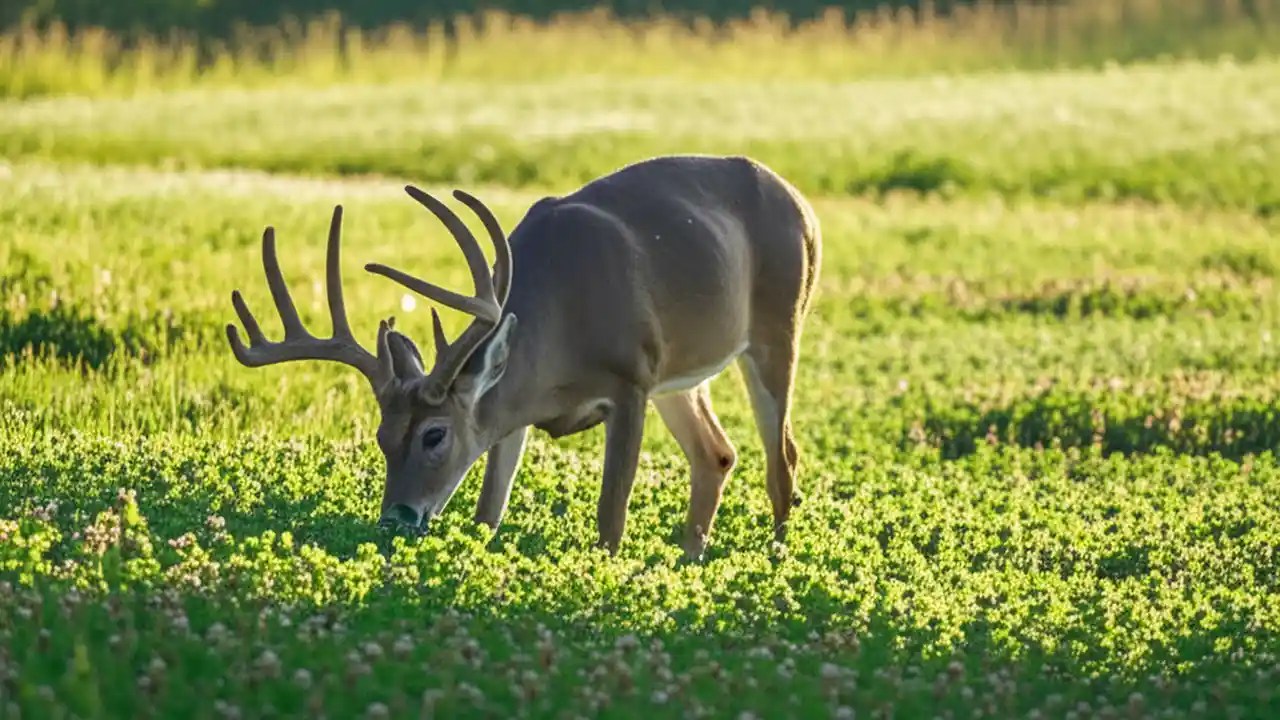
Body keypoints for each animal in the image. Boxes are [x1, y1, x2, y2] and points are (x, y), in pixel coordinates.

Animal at [225, 154, 821, 558]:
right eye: (381, 437)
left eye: (434, 434)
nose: (396, 519)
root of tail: (803, 205)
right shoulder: (510, 412)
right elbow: (488, 514)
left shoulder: (631, 377)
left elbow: (610, 517)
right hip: (681, 376)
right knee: (716, 454)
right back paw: (688, 560)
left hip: (777, 327)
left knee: (782, 460)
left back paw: (777, 559)